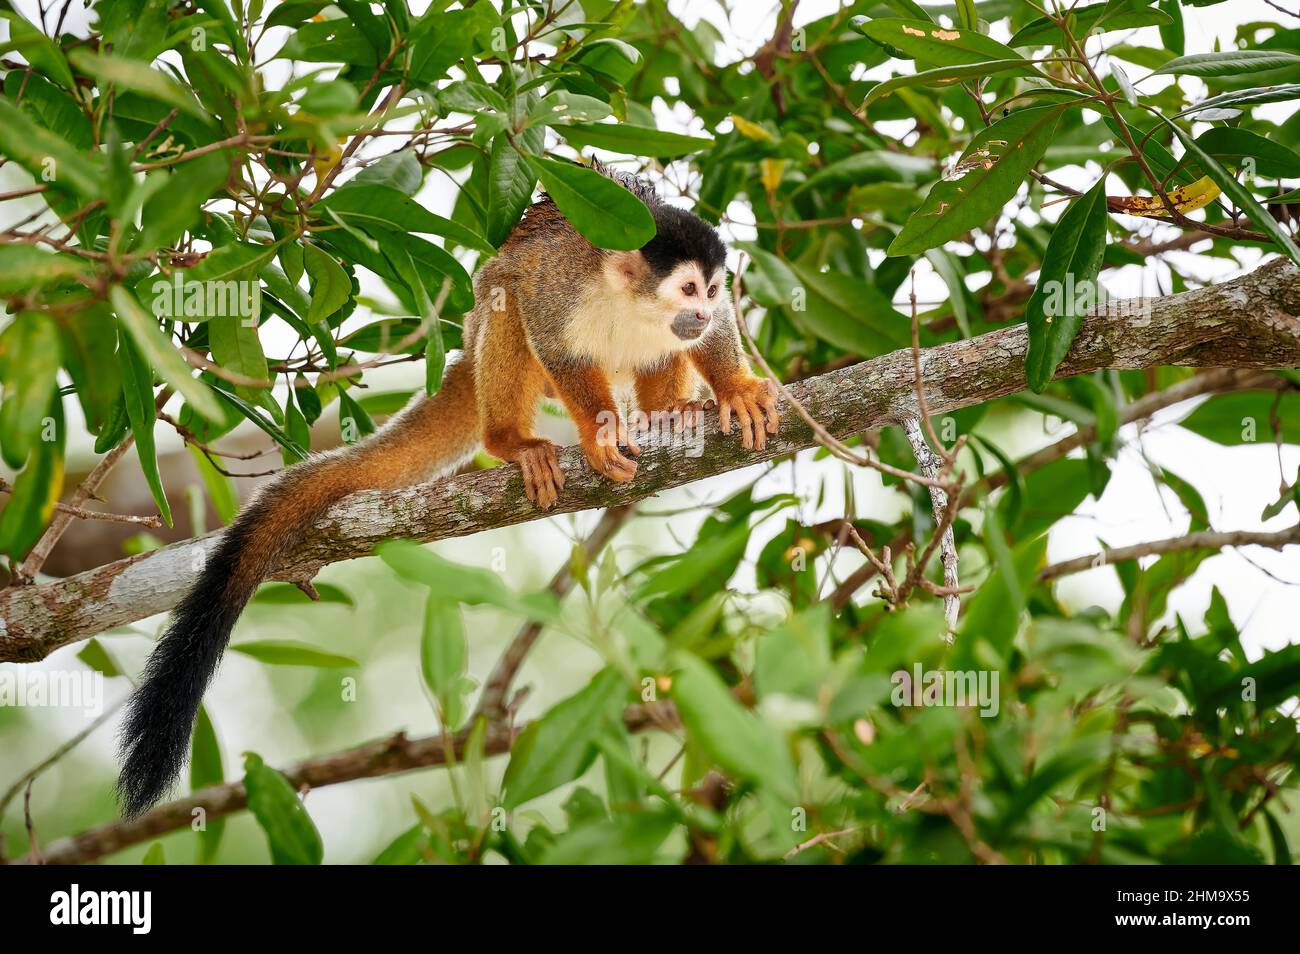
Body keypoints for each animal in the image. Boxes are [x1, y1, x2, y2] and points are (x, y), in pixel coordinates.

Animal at [115, 159, 781, 818]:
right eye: (689, 289)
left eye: (713, 291)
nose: (701, 310)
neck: (634, 305)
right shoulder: (562, 285)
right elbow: (543, 325)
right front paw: (597, 435)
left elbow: (713, 341)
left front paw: (734, 388)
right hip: (484, 327)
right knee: (503, 299)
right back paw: (511, 440)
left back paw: (671, 412)